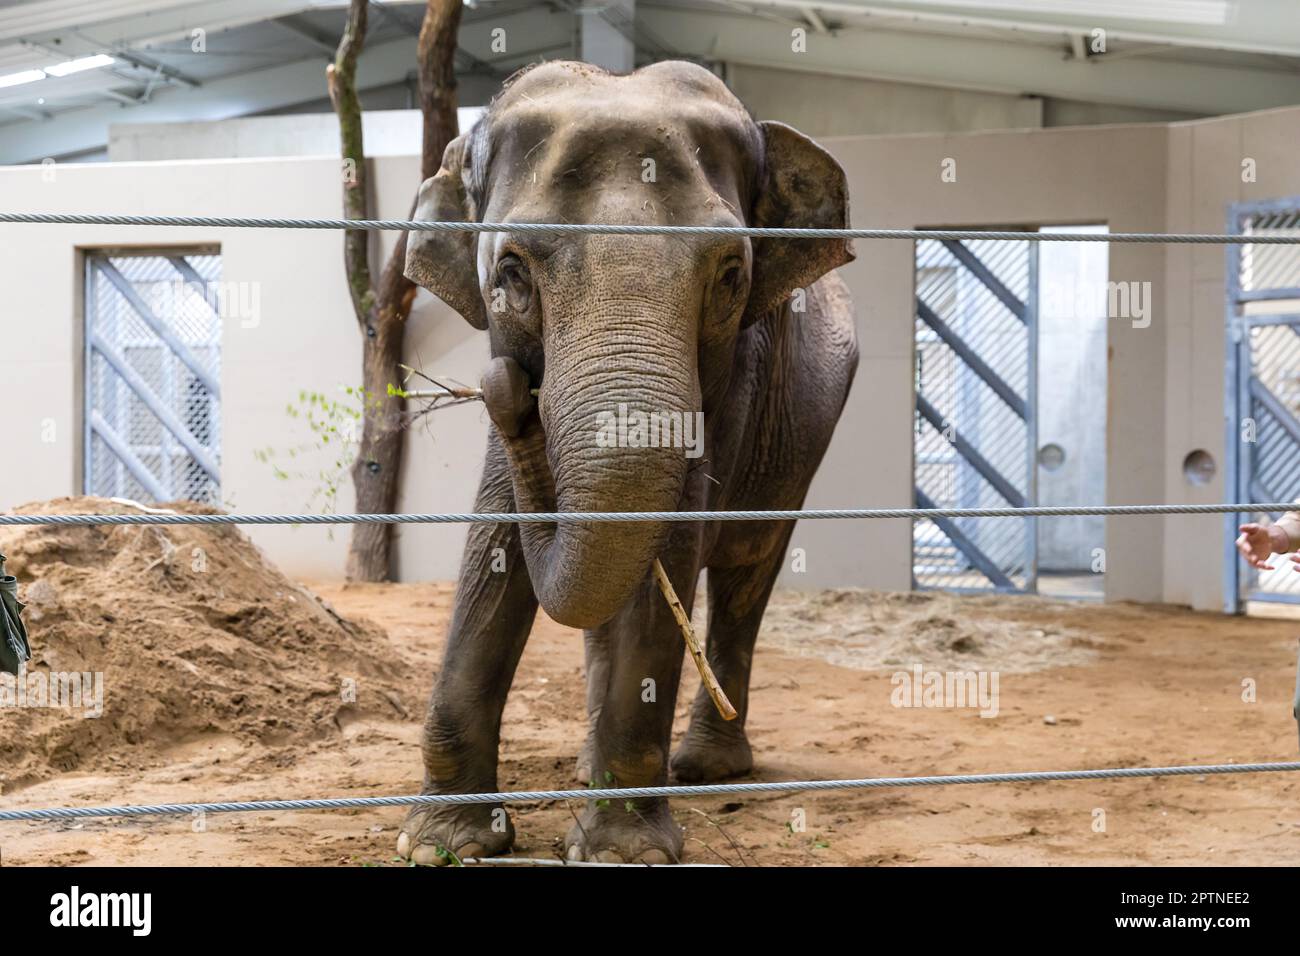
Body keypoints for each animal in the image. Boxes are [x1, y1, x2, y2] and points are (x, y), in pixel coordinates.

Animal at [397, 59, 858, 864]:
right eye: (510, 271)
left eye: (731, 274)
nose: (507, 389)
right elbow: (496, 536)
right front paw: (444, 843)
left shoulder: (736, 378)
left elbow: (671, 539)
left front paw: (620, 851)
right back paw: (590, 767)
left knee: (747, 572)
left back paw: (706, 768)